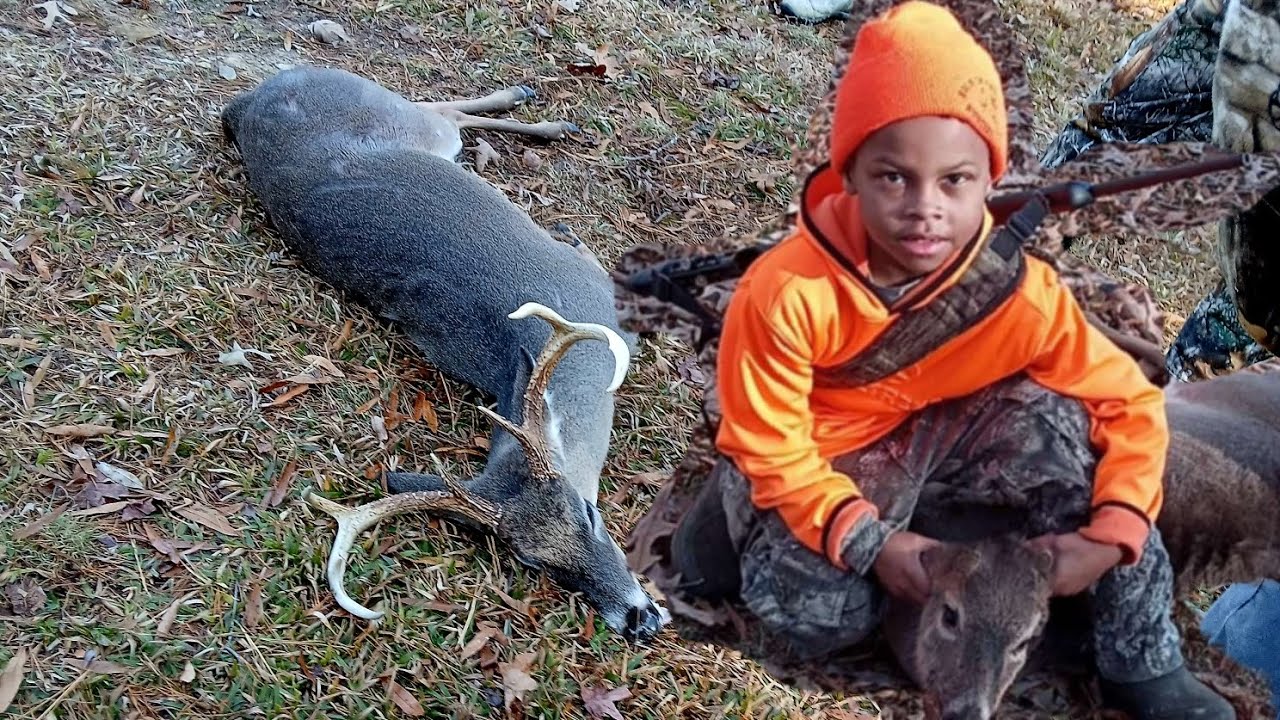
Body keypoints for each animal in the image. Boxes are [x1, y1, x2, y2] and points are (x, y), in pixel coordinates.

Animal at [218, 65, 669, 642]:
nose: (639, 619)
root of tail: (249, 100)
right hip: (419, 130)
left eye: (589, 514)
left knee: (442, 110)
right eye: (533, 562)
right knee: (444, 112)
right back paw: (541, 114)